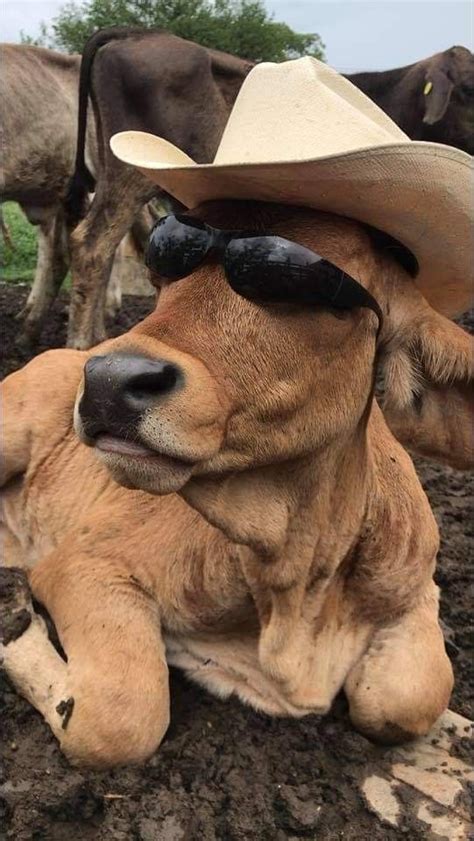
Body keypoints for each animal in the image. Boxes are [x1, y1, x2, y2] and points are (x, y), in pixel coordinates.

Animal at [1, 200, 472, 768]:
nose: (109, 380)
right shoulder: (85, 563)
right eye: (165, 266)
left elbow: (409, 696)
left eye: (294, 284)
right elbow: (120, 718)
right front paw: (14, 623)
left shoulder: (419, 585)